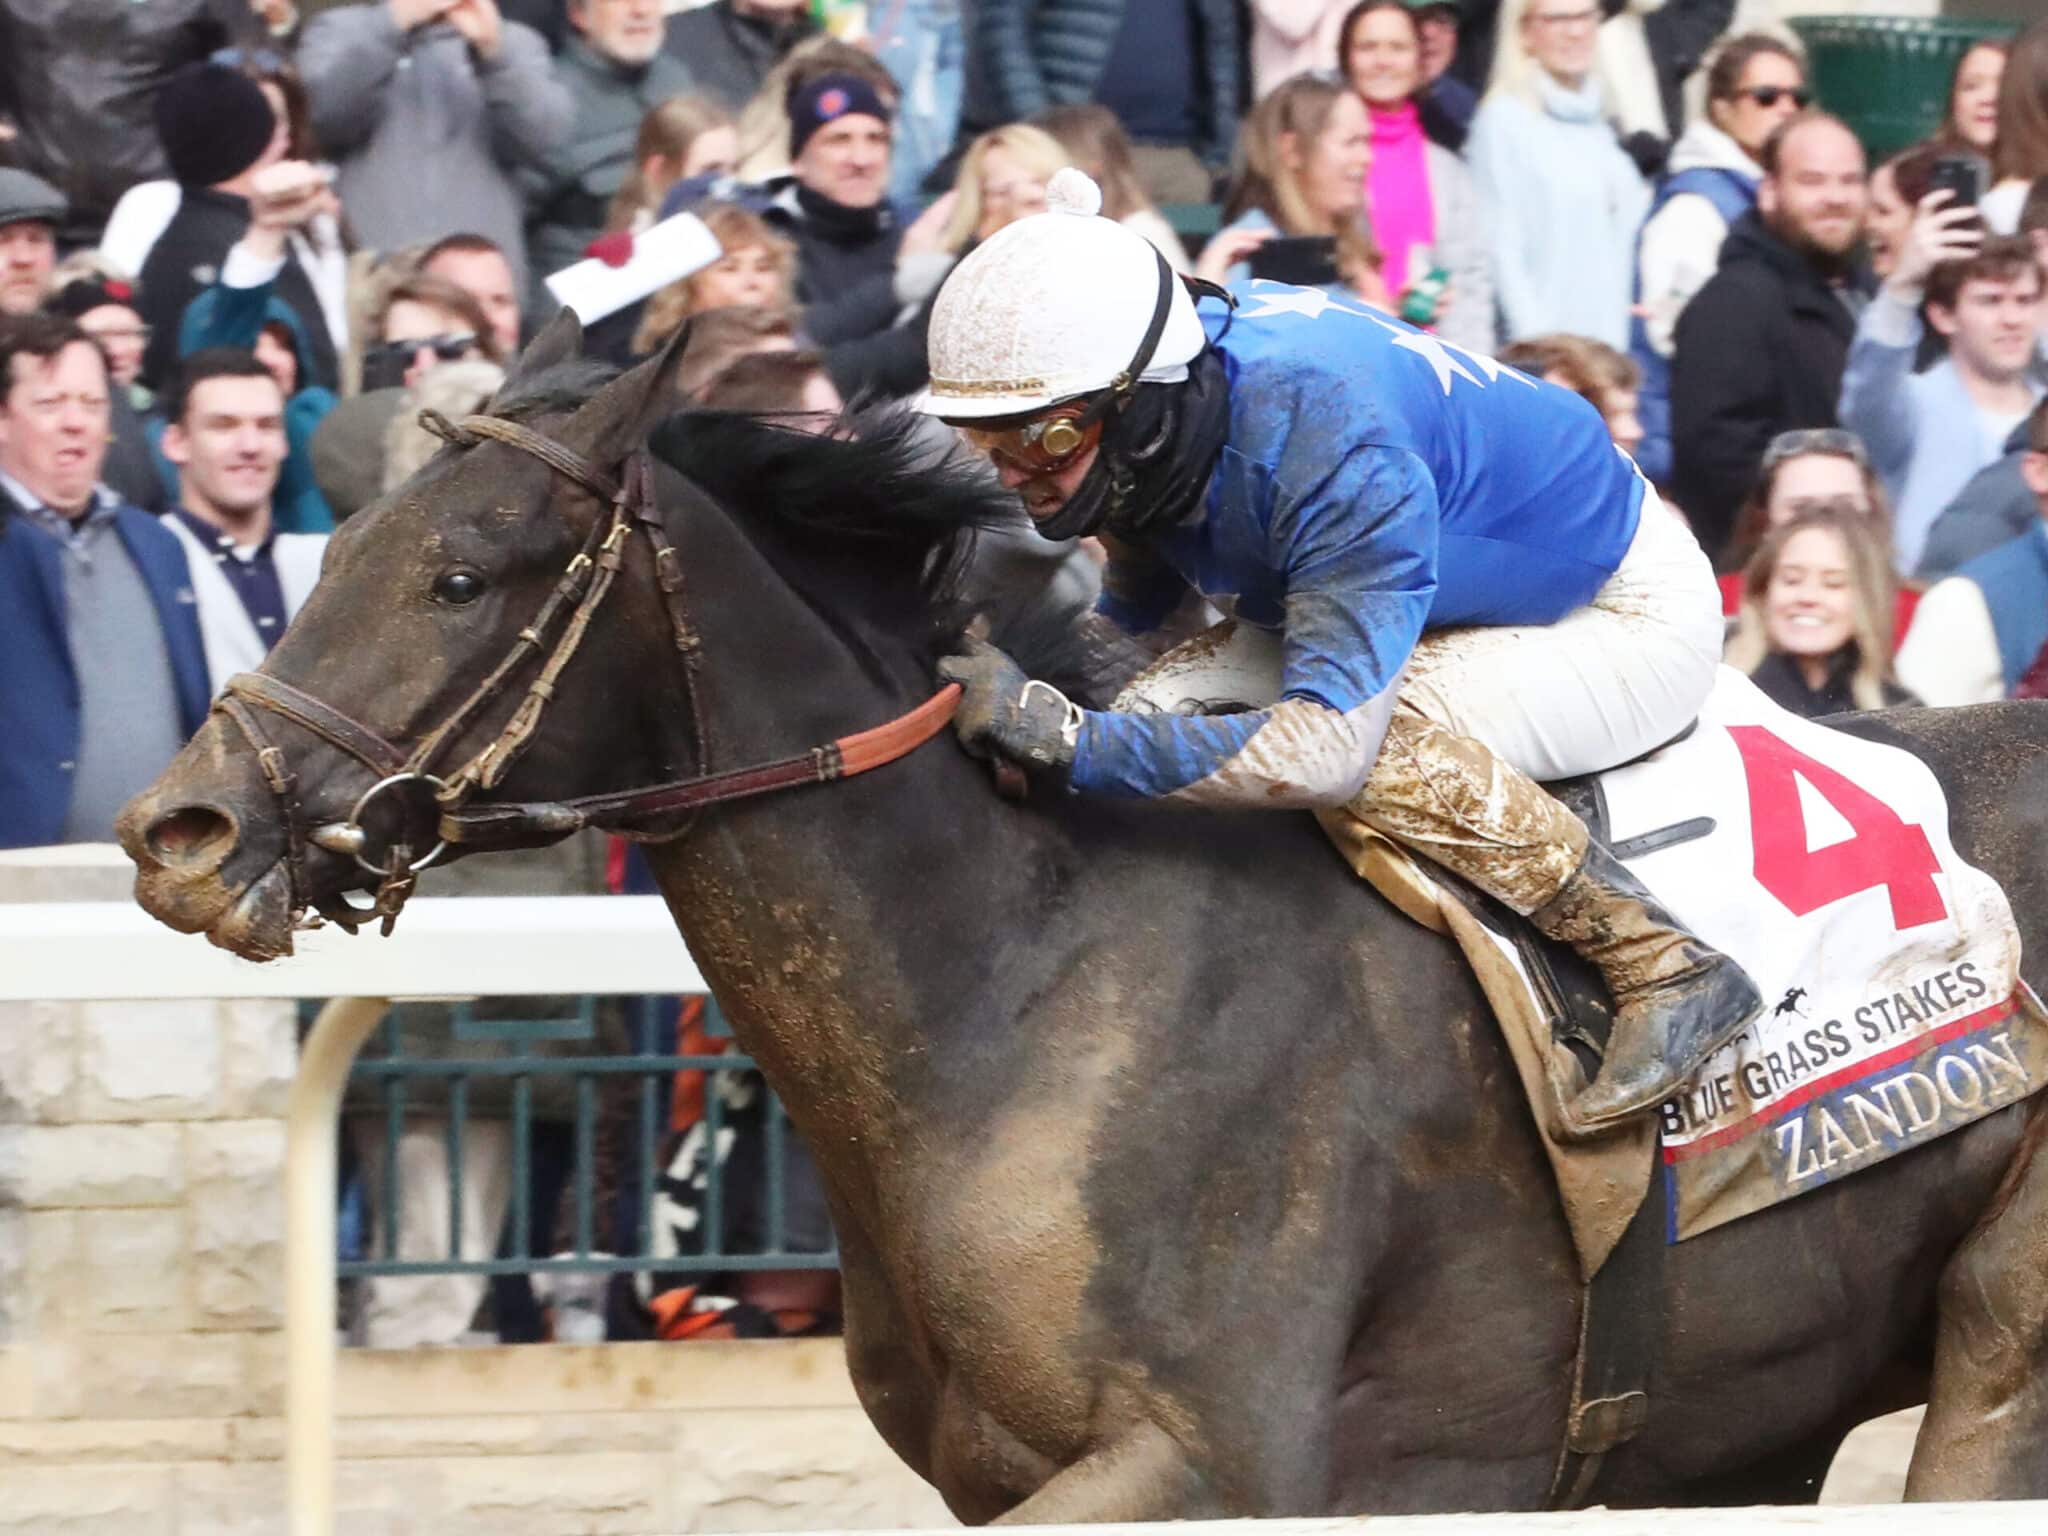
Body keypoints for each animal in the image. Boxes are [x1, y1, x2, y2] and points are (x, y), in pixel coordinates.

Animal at [118, 315, 2048, 1519]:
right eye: (336, 537)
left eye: (461, 574)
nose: (181, 828)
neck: (1023, 984)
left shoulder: (1211, 1460)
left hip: (1995, 1362)